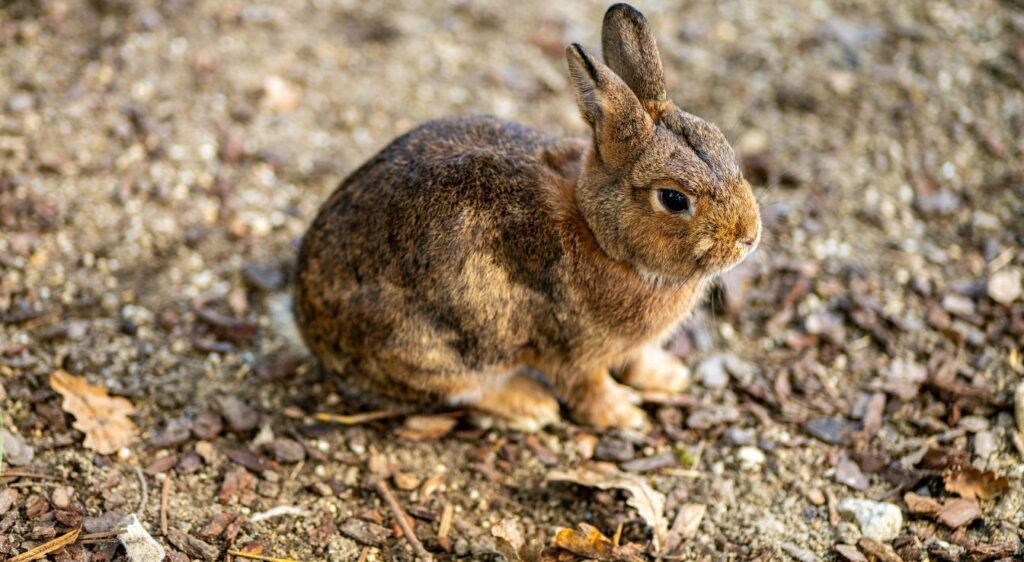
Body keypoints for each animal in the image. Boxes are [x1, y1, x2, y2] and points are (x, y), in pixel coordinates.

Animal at [293, 3, 761, 431]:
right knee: (464, 388)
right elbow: (588, 387)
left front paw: (669, 377)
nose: (749, 237)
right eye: (674, 199)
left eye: (722, 142)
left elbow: (639, 359)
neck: (597, 232)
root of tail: (308, 320)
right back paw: (530, 405)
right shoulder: (574, 349)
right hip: (443, 348)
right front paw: (625, 417)